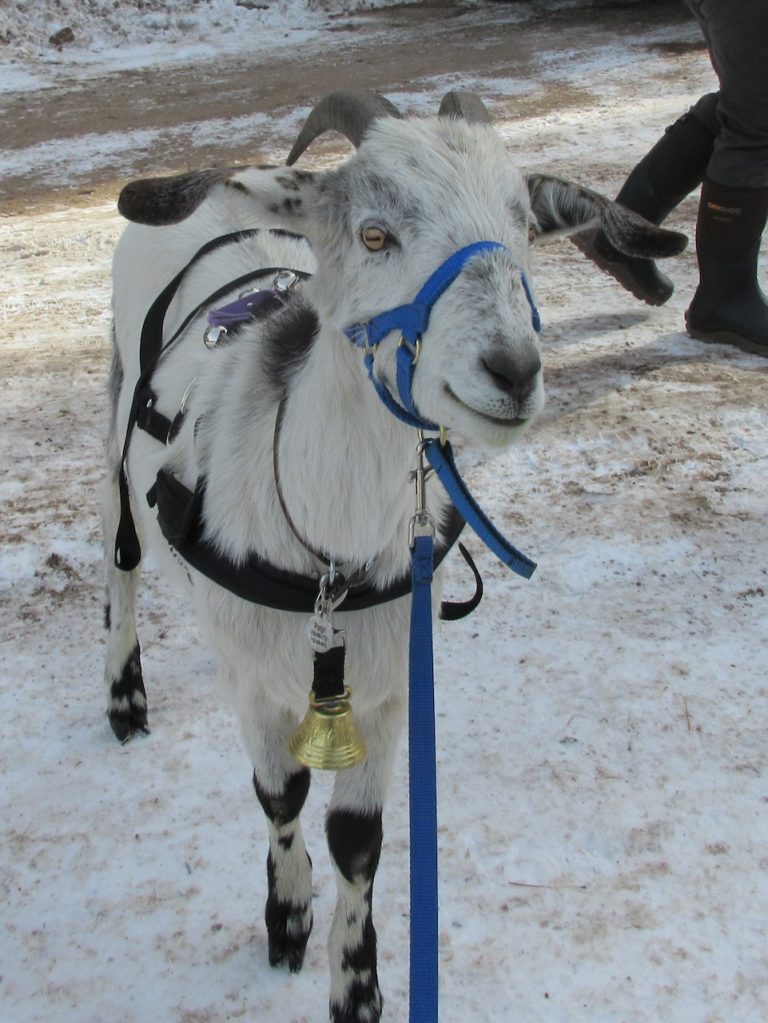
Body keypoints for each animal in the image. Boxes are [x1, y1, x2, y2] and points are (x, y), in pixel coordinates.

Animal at [102, 90, 686, 1022]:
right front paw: (288, 919)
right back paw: (124, 696)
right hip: (118, 403)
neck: (325, 554)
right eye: (375, 234)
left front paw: (359, 983)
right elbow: (280, 794)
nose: (512, 371)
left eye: (524, 227)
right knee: (119, 556)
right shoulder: (260, 688)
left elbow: (360, 838)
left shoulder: (388, 681)